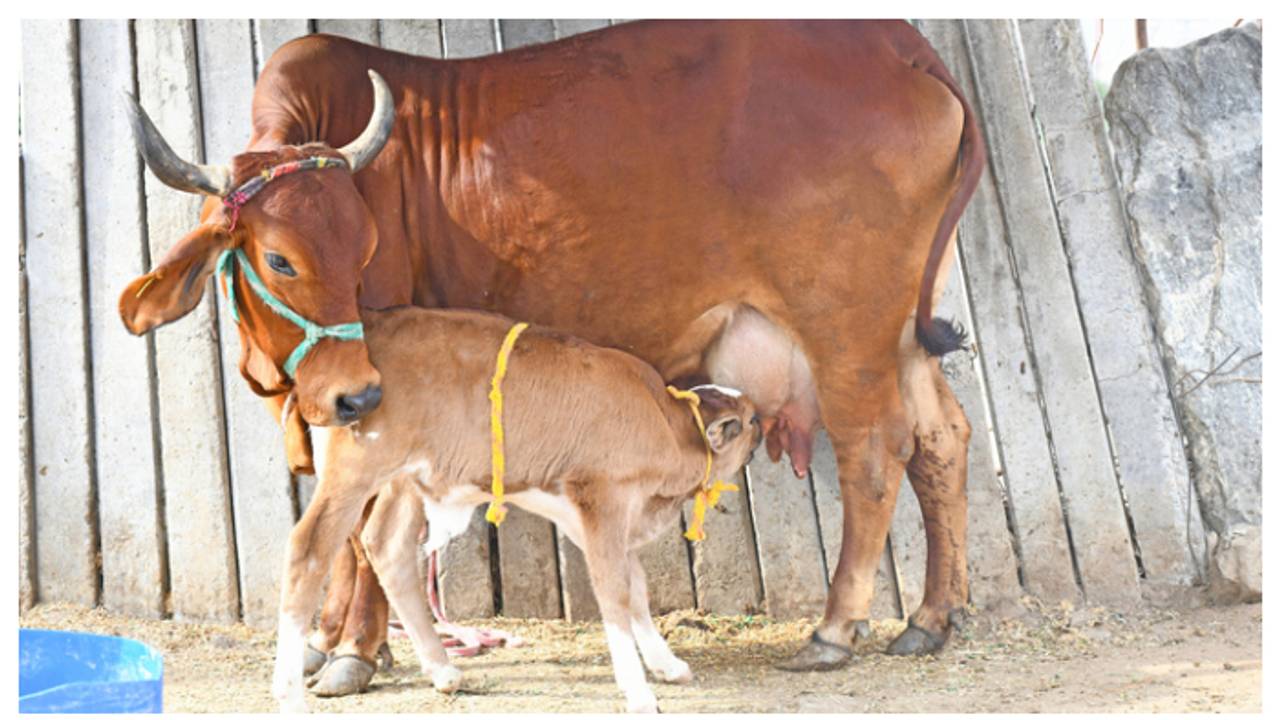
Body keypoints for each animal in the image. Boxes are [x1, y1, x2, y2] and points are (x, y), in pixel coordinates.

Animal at [270, 305, 762, 712]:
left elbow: (637, 587)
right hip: (353, 474)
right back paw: (288, 691)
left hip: (403, 479)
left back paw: (443, 670)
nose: (764, 425)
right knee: (307, 549)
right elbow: (615, 593)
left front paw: (667, 664)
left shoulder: (596, 517)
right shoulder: (602, 499)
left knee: (386, 546)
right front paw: (639, 692)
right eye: (751, 419)